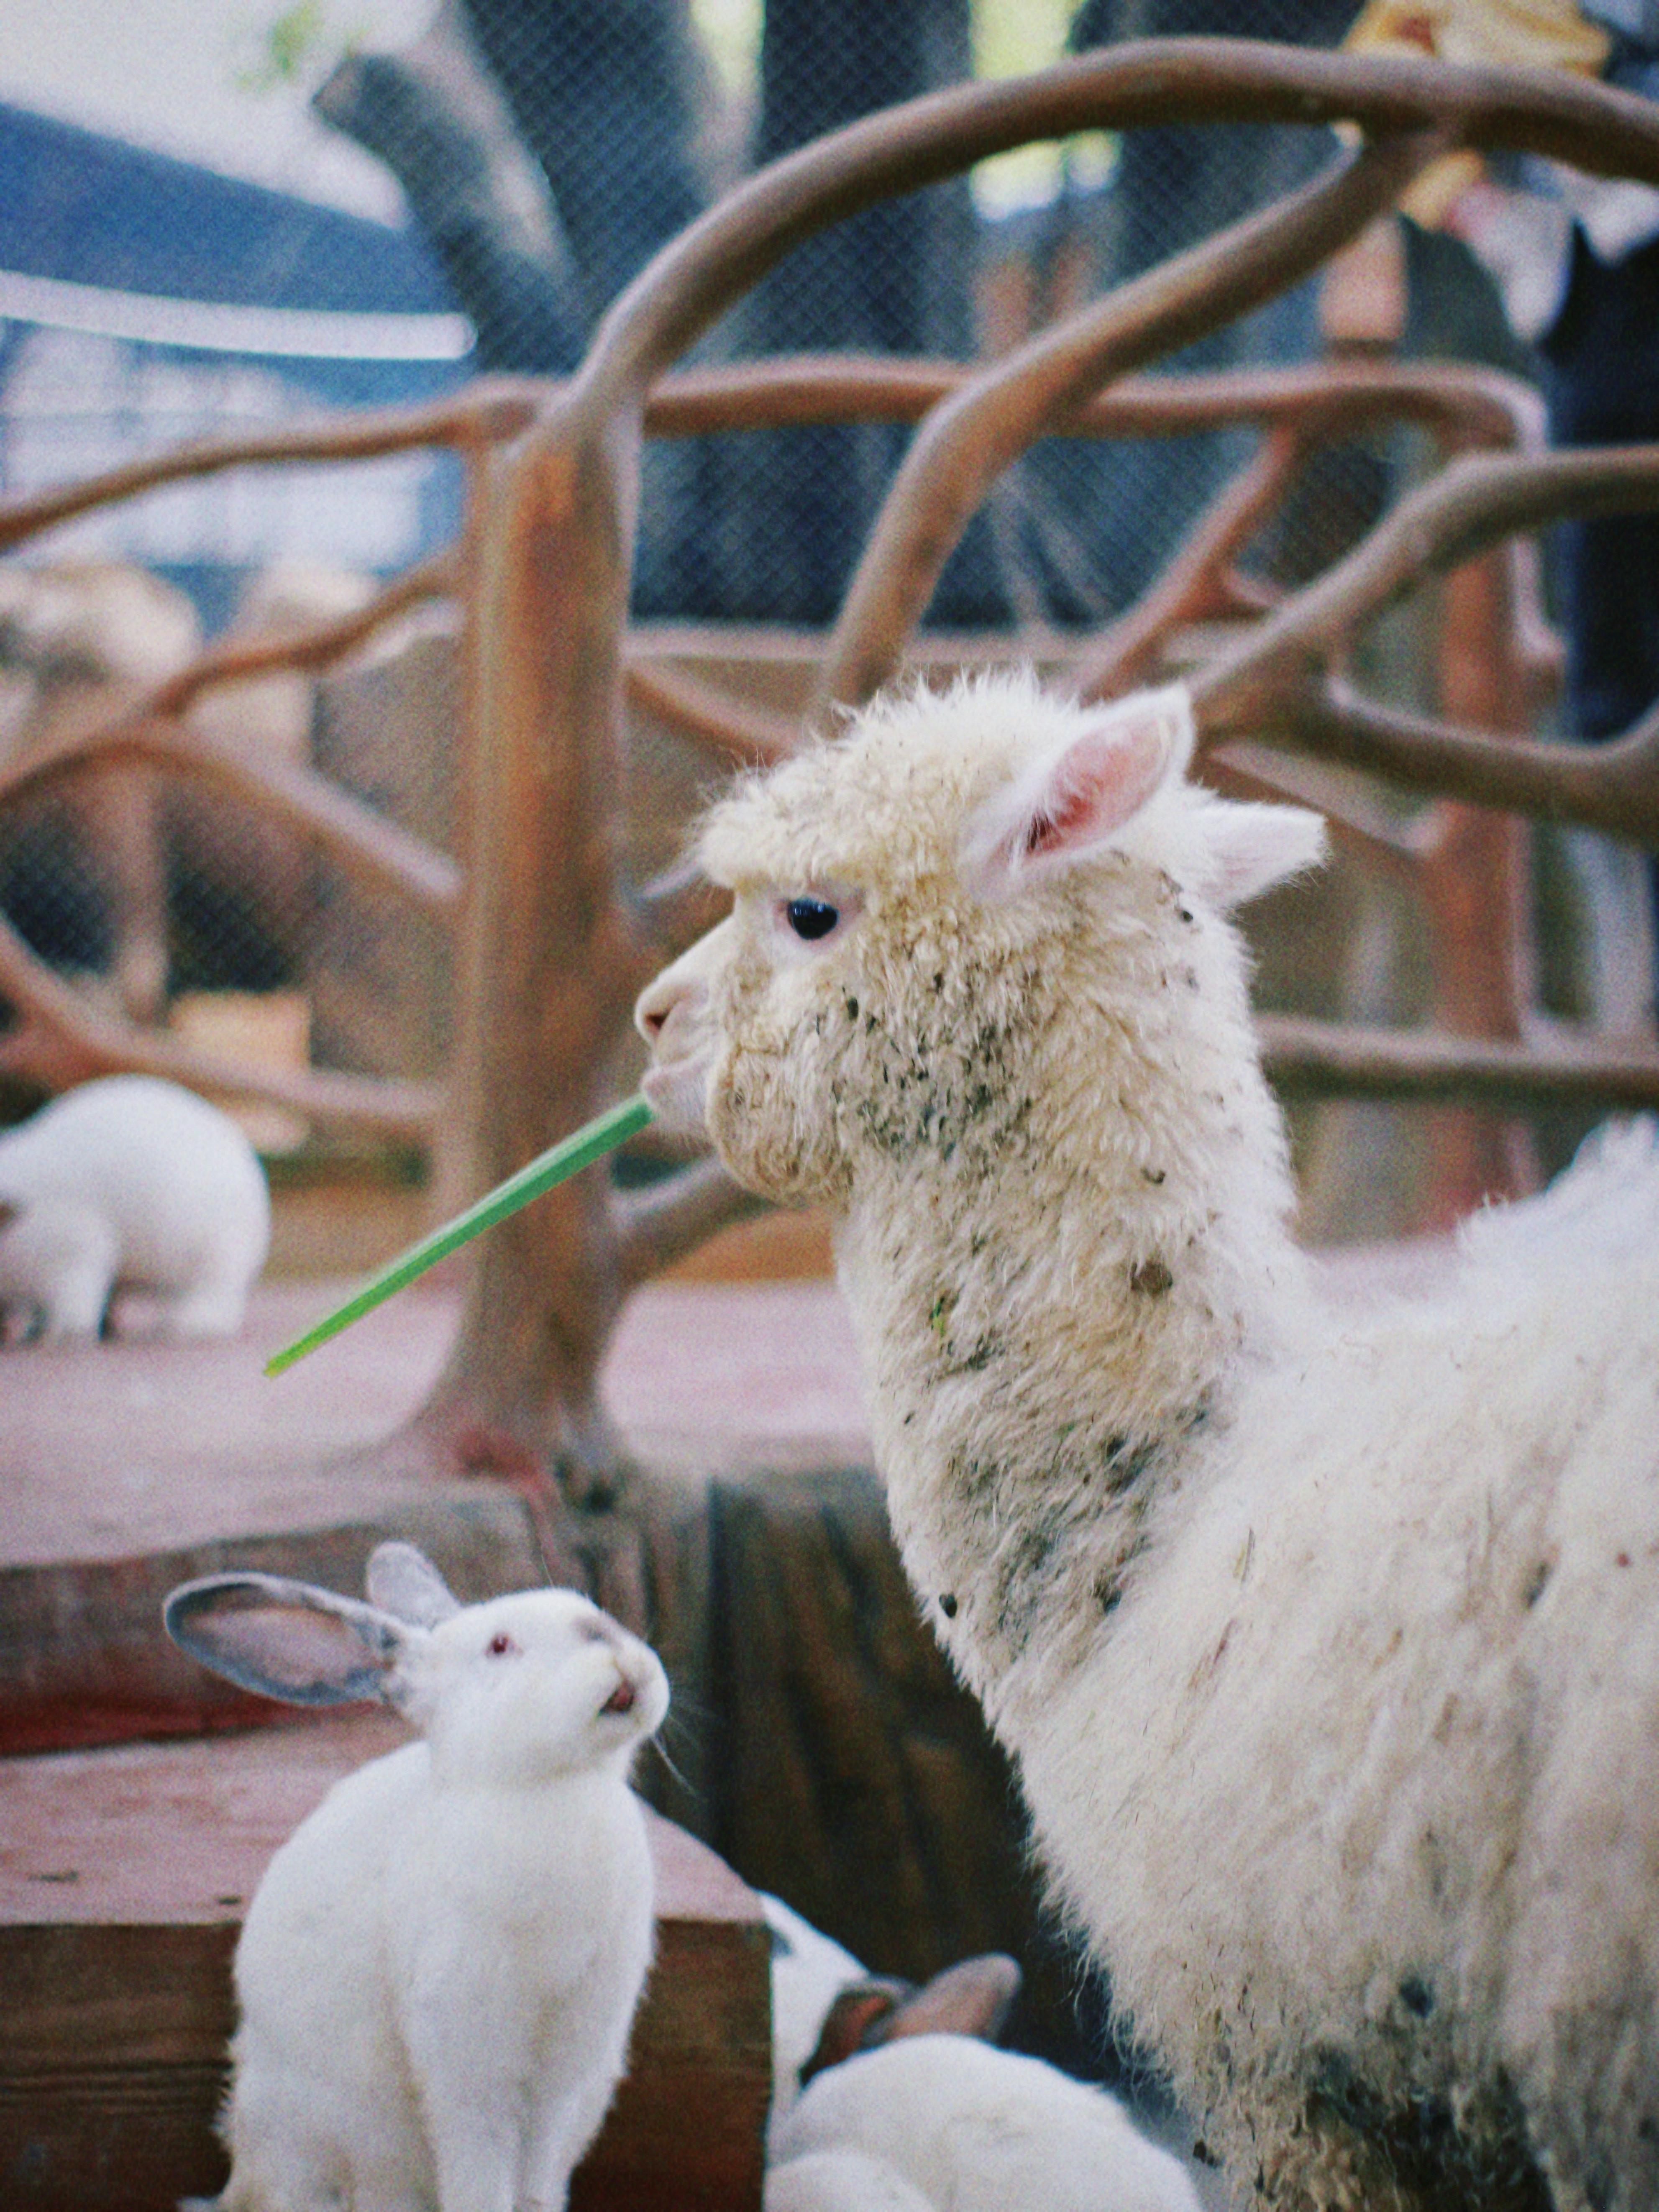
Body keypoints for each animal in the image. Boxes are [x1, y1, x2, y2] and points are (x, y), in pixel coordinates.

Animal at [0, 1074, 269, 1342]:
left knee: (218, 1300)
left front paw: (63, 1334)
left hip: (218, 1258)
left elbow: (75, 1303)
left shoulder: (80, 1250)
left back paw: (186, 1324)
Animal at [163, 1541, 670, 2212]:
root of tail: (243, 2179)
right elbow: (478, 2171)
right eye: (500, 1646)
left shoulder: (568, 2070)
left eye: (593, 1610)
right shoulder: (465, 2059)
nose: (621, 1657)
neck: (552, 1786)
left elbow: (536, 2180)